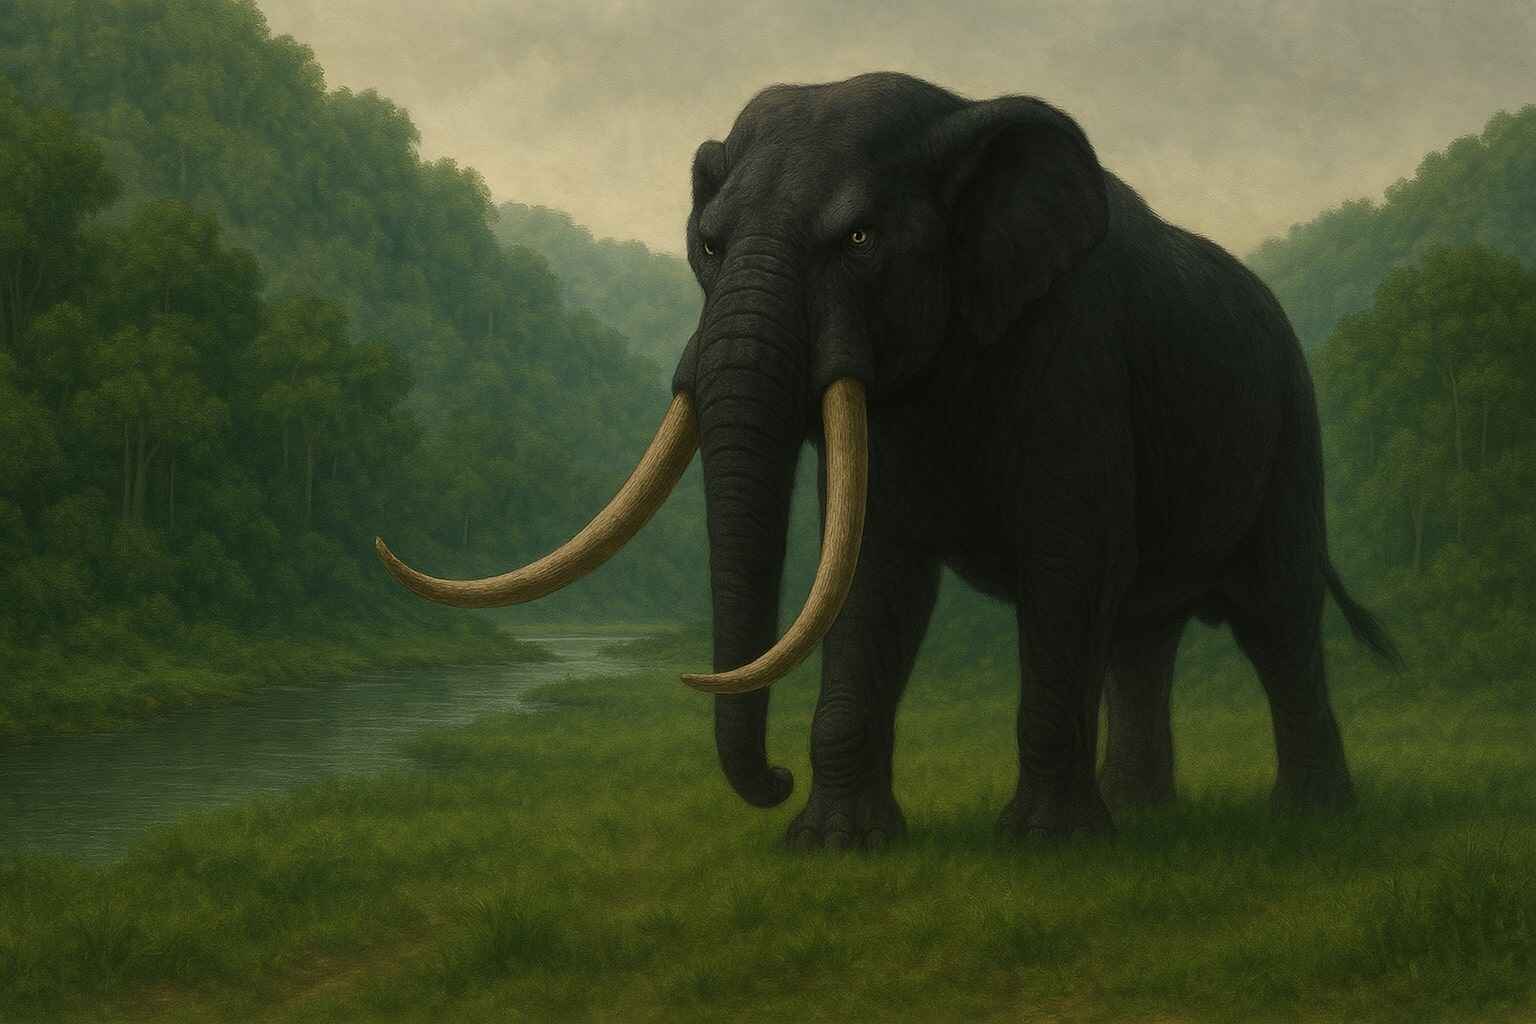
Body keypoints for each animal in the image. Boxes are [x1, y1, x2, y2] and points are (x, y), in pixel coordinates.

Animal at [377, 72, 1399, 849]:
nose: (774, 779)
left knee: (1275, 615)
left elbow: (1068, 566)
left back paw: (1309, 818)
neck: (960, 115)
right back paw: (1150, 813)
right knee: (1145, 635)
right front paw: (837, 844)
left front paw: (1048, 846)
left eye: (862, 240)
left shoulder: (1080, 355)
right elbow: (875, 582)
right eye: (707, 244)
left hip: (1291, 427)